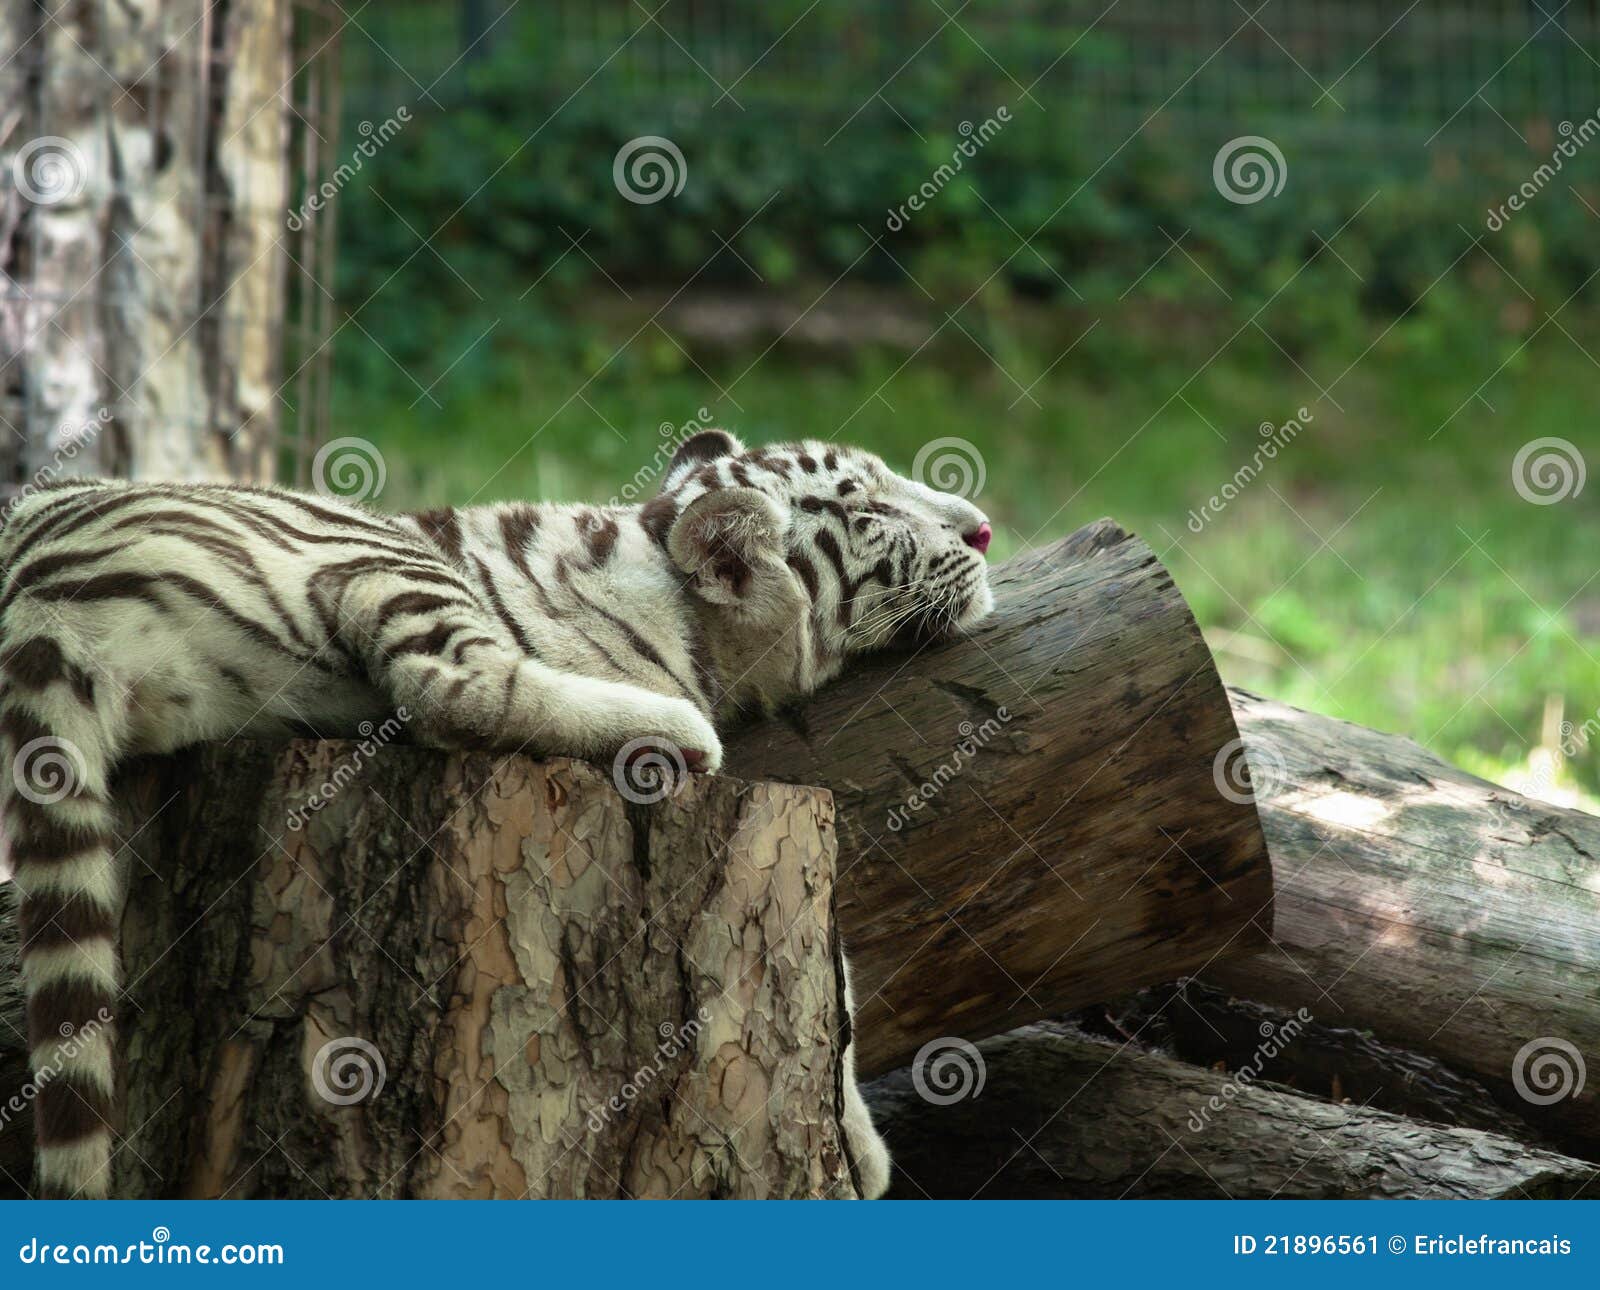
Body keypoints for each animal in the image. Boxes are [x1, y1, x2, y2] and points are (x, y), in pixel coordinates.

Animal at [0, 429, 994, 1199]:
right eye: (870, 510)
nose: (986, 529)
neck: (683, 605)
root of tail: (31, 590)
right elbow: (840, 967)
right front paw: (864, 1150)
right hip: (367, 544)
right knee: (451, 685)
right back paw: (674, 733)